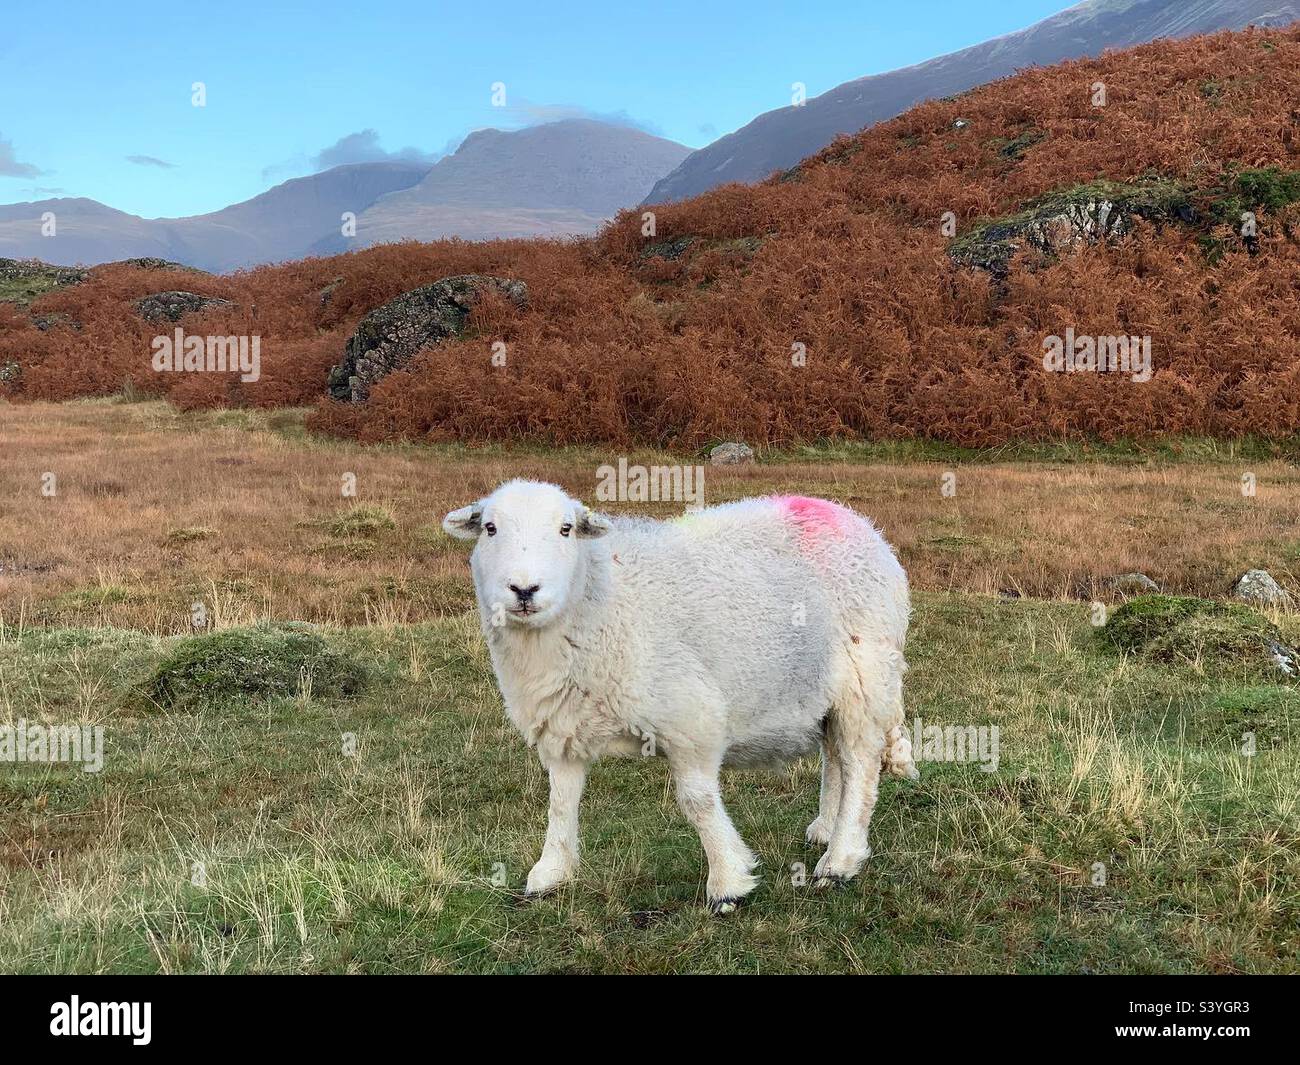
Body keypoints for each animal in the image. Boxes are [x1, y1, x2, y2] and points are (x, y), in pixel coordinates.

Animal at [443, 479, 917, 912]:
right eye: (490, 528)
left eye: (565, 529)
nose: (524, 590)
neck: (600, 593)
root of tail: (857, 523)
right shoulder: (563, 722)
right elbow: (560, 801)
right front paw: (550, 872)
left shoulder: (691, 718)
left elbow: (698, 802)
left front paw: (728, 882)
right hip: (826, 689)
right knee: (835, 754)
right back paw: (825, 828)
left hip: (864, 675)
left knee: (859, 764)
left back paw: (840, 859)